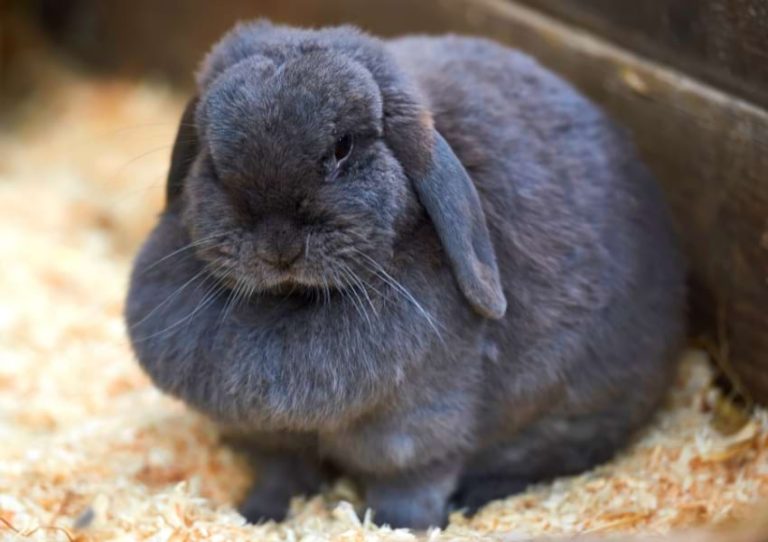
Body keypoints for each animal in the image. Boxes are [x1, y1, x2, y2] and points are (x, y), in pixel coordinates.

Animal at [124, 20, 686, 530]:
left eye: (343, 148)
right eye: (215, 163)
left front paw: (395, 525)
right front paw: (257, 515)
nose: (279, 246)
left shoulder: (416, 435)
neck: (291, 302)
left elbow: (412, 485)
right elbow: (279, 474)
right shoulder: (269, 439)